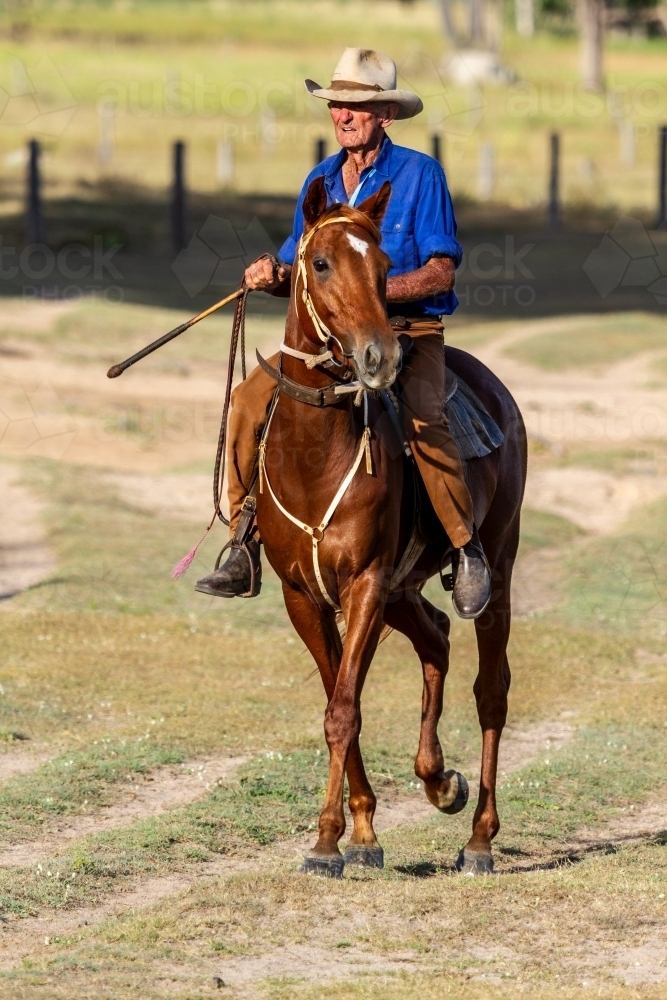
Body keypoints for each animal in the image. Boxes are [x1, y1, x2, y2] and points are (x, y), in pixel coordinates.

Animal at [255, 176, 527, 877]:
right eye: (320, 263)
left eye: (383, 268)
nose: (379, 357)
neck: (315, 457)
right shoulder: (304, 596)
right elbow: (337, 700)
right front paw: (360, 832)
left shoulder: (366, 584)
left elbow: (344, 708)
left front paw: (328, 842)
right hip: (404, 589)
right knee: (436, 639)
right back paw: (439, 781)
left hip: (494, 567)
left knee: (491, 689)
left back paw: (480, 839)